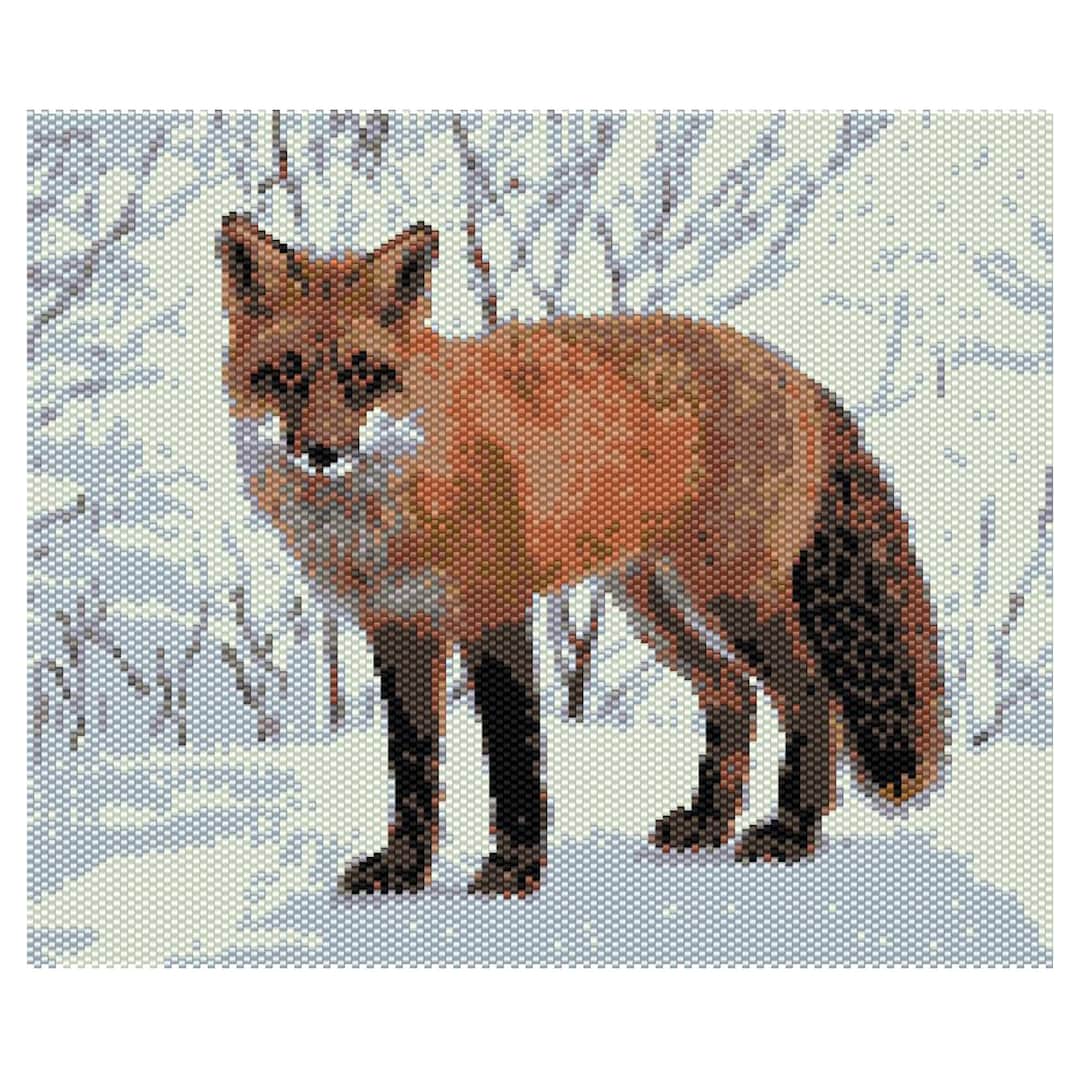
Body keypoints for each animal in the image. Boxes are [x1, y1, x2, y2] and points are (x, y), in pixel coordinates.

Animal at [219, 213, 946, 898]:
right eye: (287, 371)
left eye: (364, 374)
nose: (323, 452)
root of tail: (795, 371)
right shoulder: (401, 628)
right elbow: (413, 766)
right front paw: (404, 871)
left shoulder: (494, 613)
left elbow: (513, 757)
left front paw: (514, 870)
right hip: (653, 606)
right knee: (734, 694)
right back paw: (708, 822)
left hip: (730, 598)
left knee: (811, 696)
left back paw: (794, 830)